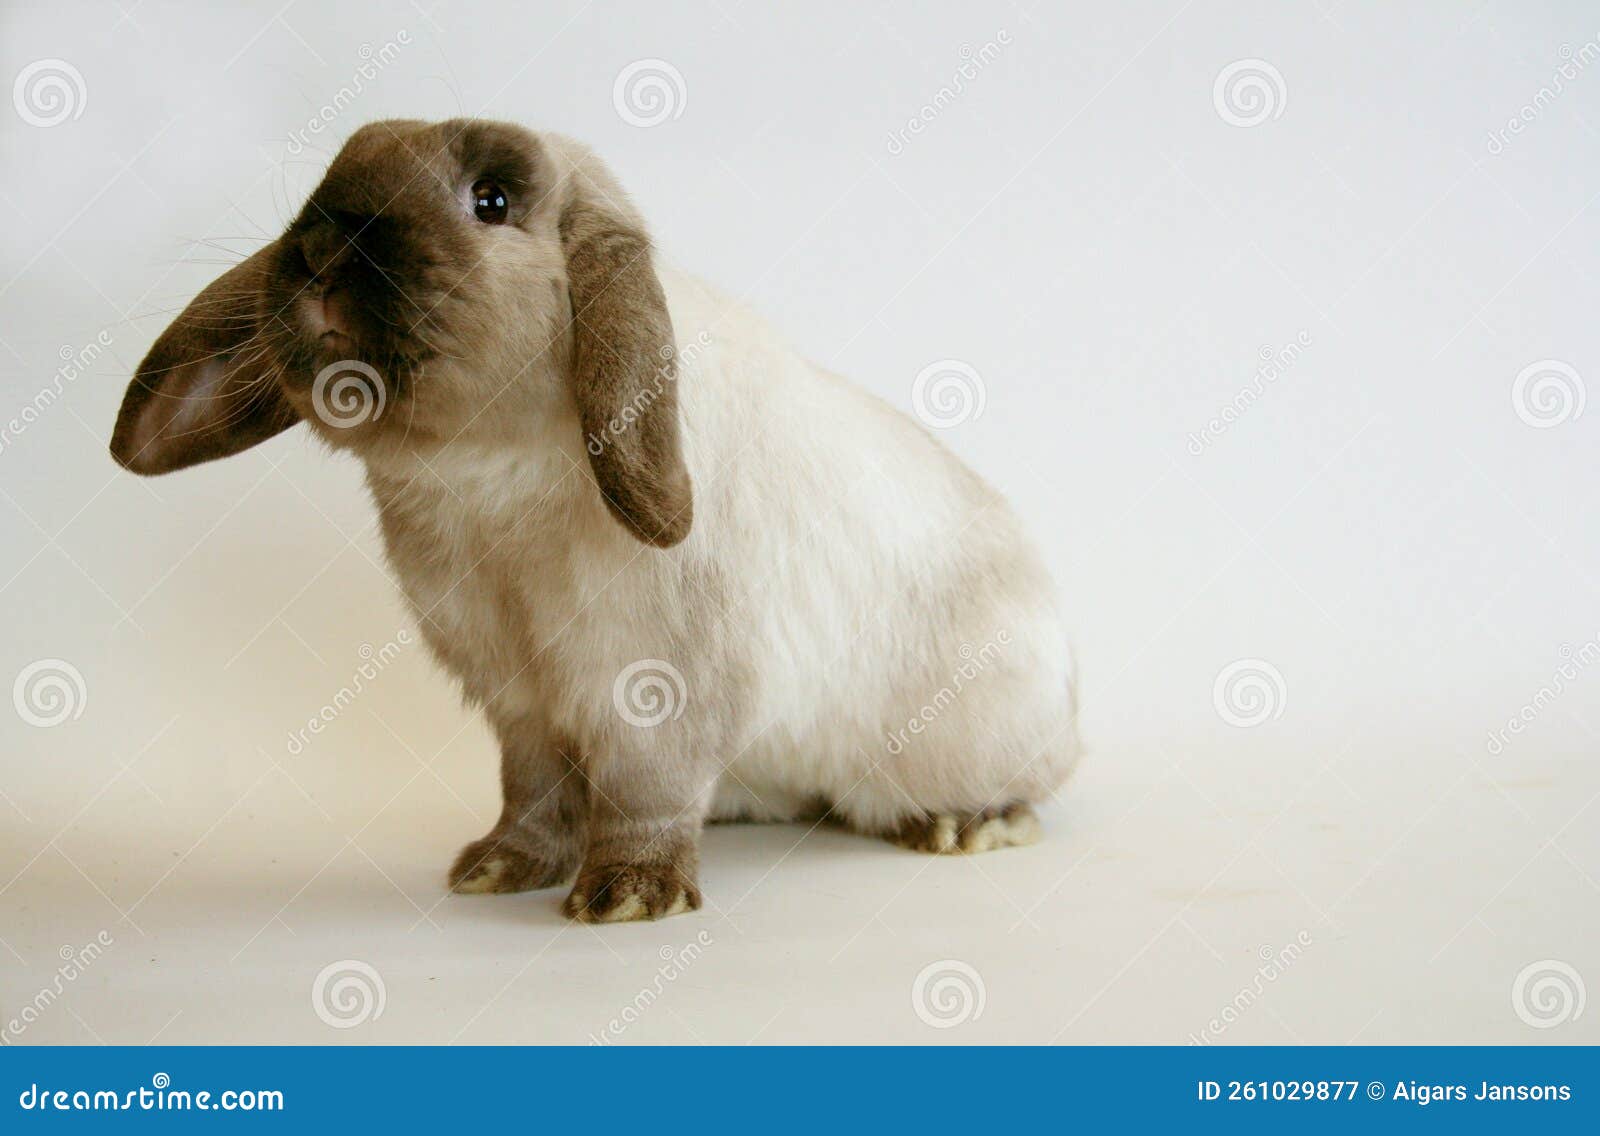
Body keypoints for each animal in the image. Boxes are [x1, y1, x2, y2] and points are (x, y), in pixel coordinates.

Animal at [110, 119, 1080, 922]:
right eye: (332, 174)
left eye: (492, 201)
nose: (318, 249)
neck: (484, 475)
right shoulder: (520, 702)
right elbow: (533, 790)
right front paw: (498, 868)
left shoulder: (656, 687)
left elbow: (648, 790)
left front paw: (628, 896)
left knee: (1024, 792)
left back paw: (967, 826)